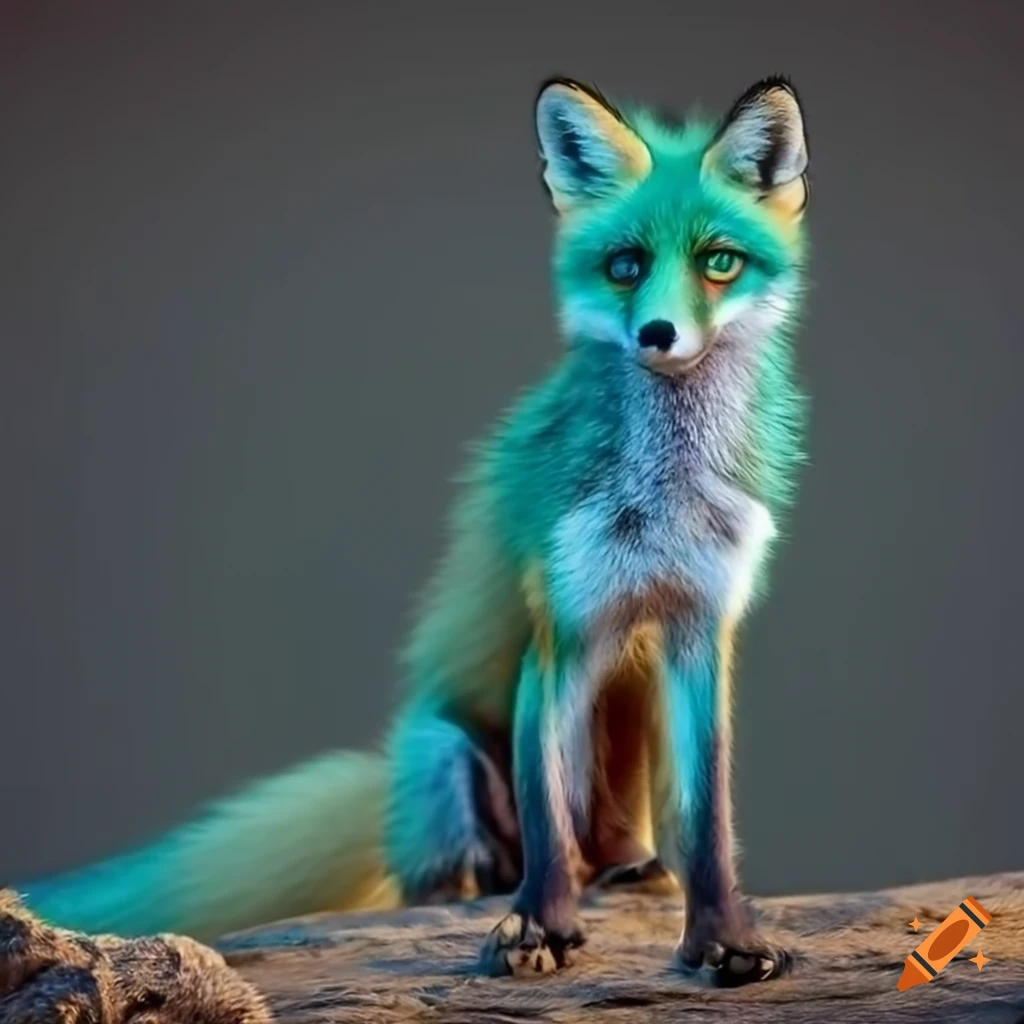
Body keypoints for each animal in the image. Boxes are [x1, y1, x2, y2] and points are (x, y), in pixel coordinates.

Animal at [18, 73, 810, 986]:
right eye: (625, 265)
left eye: (719, 261)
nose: (657, 334)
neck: (660, 499)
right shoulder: (561, 630)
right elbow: (546, 818)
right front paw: (538, 926)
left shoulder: (700, 629)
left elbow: (708, 819)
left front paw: (724, 937)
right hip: (443, 752)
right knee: (465, 869)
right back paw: (485, 889)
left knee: (618, 841)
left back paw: (627, 870)